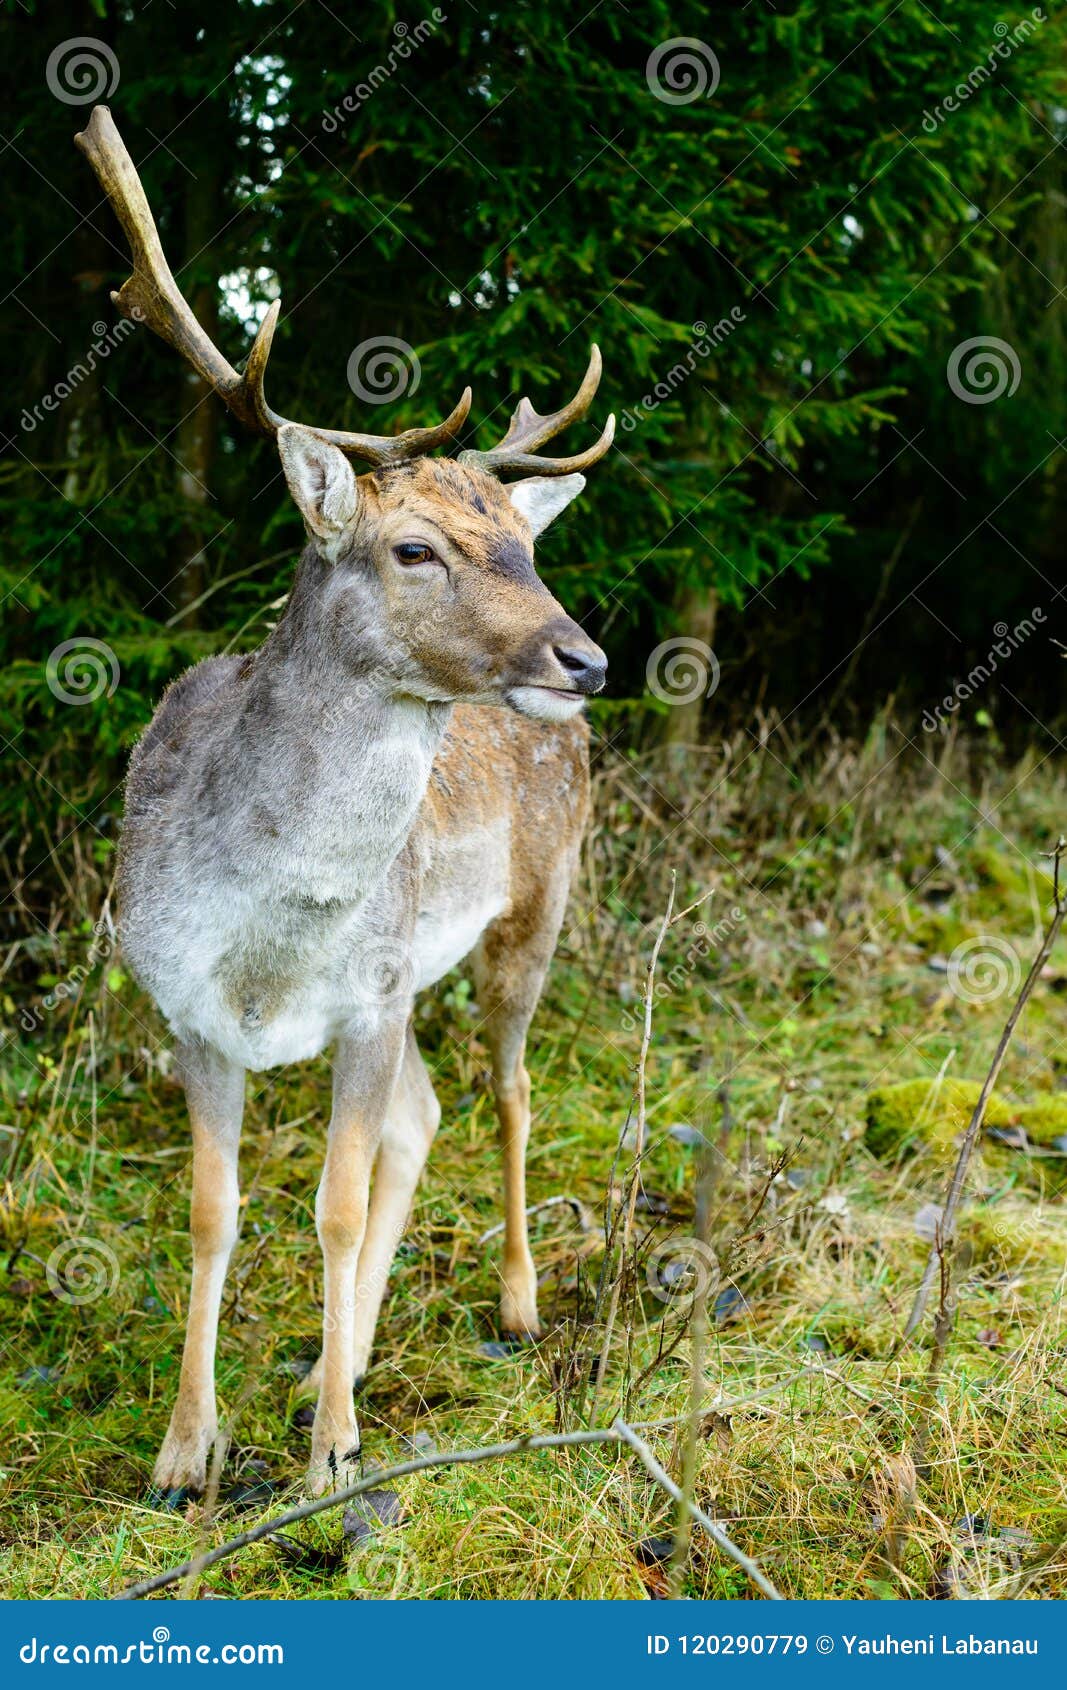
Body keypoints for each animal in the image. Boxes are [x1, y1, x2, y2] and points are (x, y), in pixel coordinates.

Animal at [75, 108, 613, 1497]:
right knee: (423, 1116)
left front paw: (327, 1458)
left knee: (503, 1090)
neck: (266, 938)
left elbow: (334, 1199)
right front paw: (185, 1452)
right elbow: (212, 1212)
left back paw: (509, 1307)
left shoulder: (365, 996)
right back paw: (348, 1360)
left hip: (529, 912)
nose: (584, 658)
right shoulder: (186, 1007)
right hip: (417, 968)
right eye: (413, 547)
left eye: (523, 544)